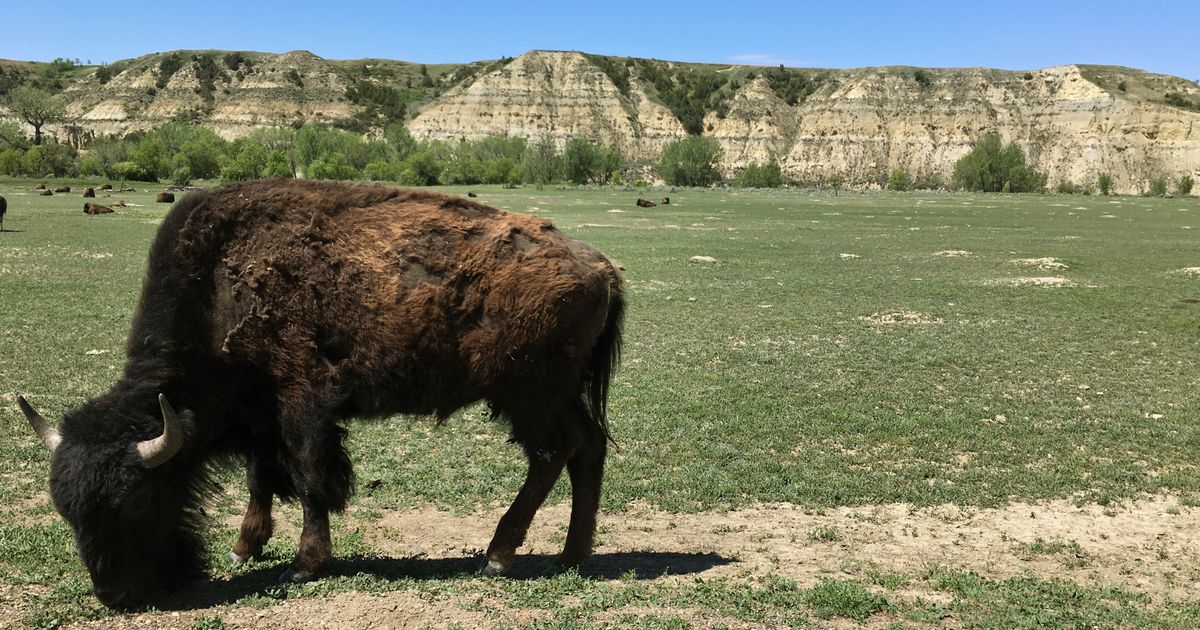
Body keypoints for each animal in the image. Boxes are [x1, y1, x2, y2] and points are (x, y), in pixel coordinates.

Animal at [21, 179, 625, 608]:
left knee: (553, 454)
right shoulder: (261, 414)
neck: (217, 287)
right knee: (588, 449)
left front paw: (304, 564)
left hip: (528, 395)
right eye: (66, 511)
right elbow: (263, 477)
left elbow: (310, 478)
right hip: (557, 394)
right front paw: (245, 547)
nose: (115, 595)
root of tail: (601, 267)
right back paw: (571, 556)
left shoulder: (302, 403)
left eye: (139, 499)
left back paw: (499, 557)